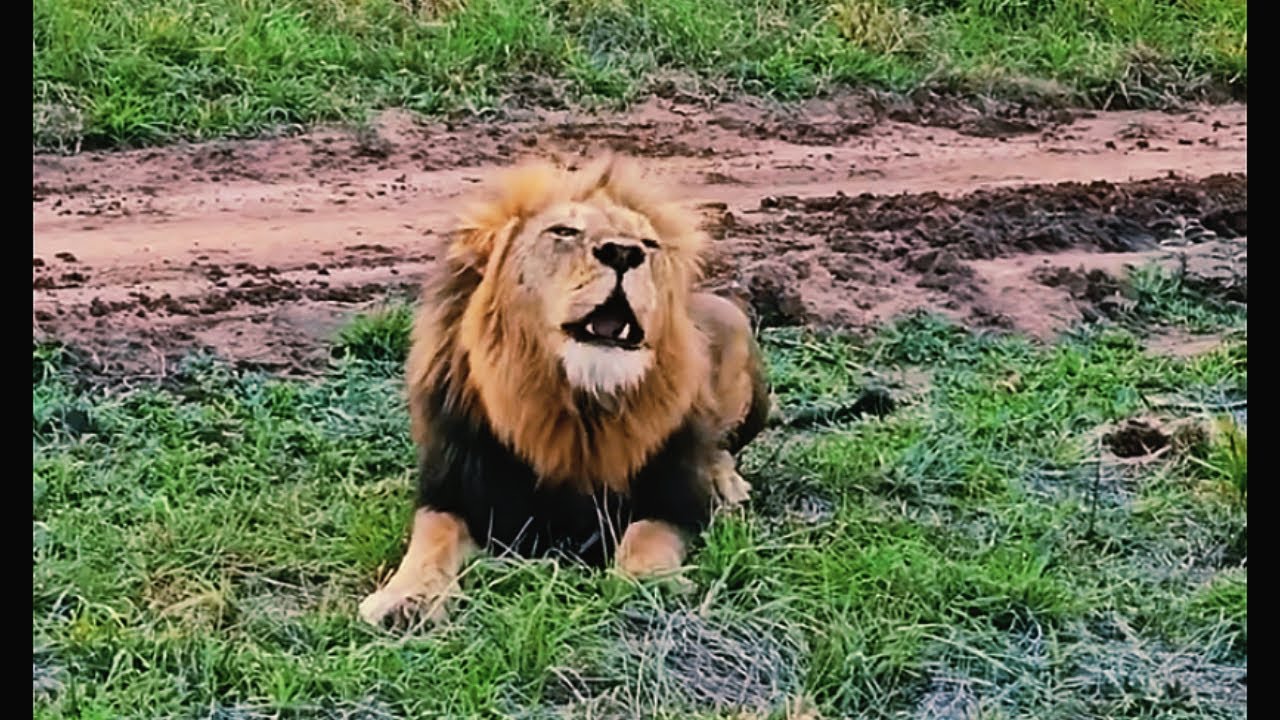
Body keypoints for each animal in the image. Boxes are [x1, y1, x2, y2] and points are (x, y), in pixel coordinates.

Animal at [359, 155, 770, 625]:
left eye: (648, 244)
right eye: (564, 232)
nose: (624, 253)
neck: (579, 403)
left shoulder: (672, 494)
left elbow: (650, 535)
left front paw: (648, 585)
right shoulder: (456, 486)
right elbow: (431, 537)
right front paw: (405, 598)